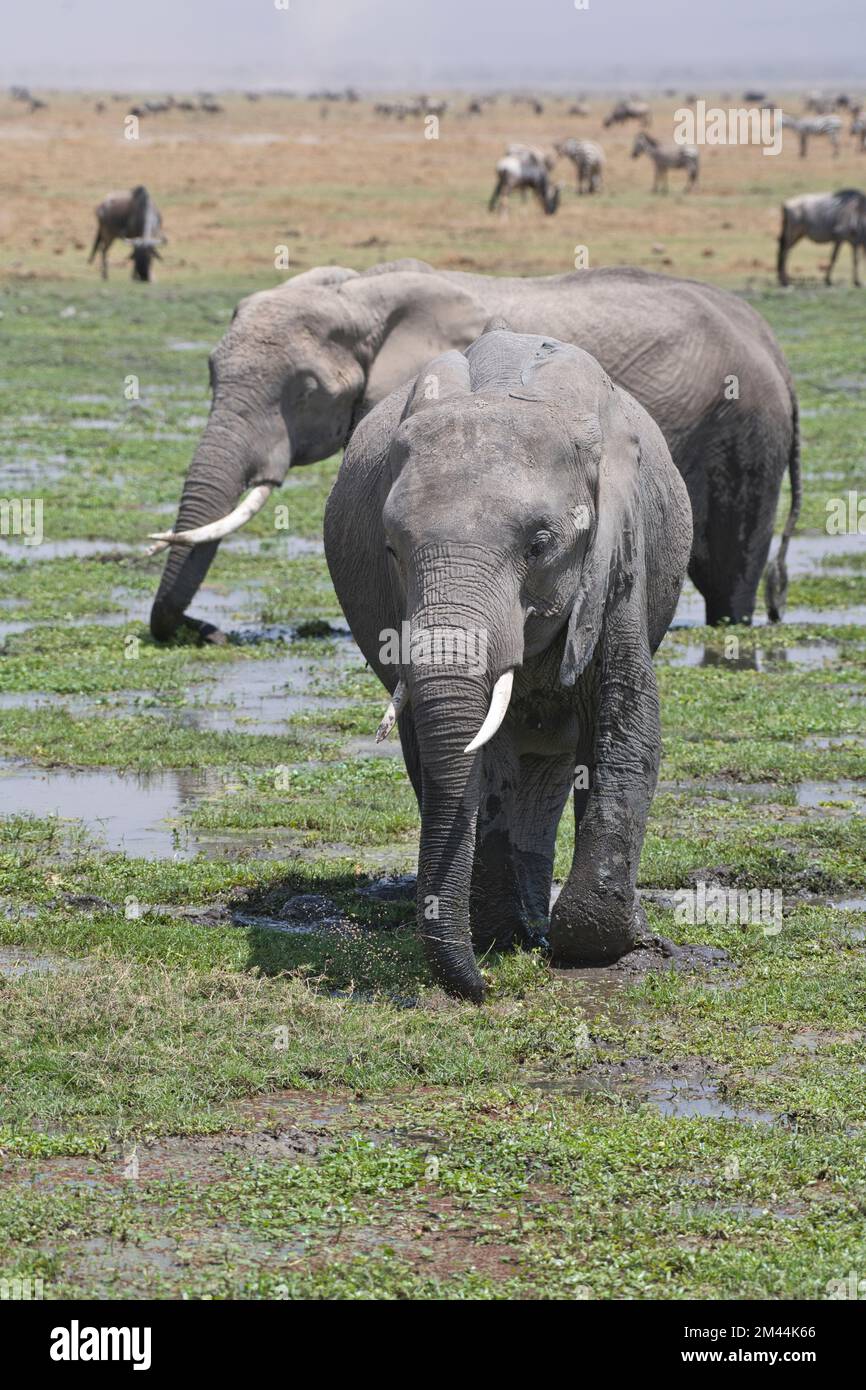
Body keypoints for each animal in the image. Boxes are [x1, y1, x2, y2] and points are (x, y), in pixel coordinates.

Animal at [148, 260, 799, 642]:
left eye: (305, 390)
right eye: (210, 372)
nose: (202, 631)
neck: (361, 293)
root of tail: (770, 342)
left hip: (743, 424)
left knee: (731, 570)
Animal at [322, 326, 693, 1002]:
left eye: (540, 545)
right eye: (391, 549)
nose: (484, 989)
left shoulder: (619, 557)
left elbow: (627, 727)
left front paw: (604, 944)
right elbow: (475, 759)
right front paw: (501, 938)